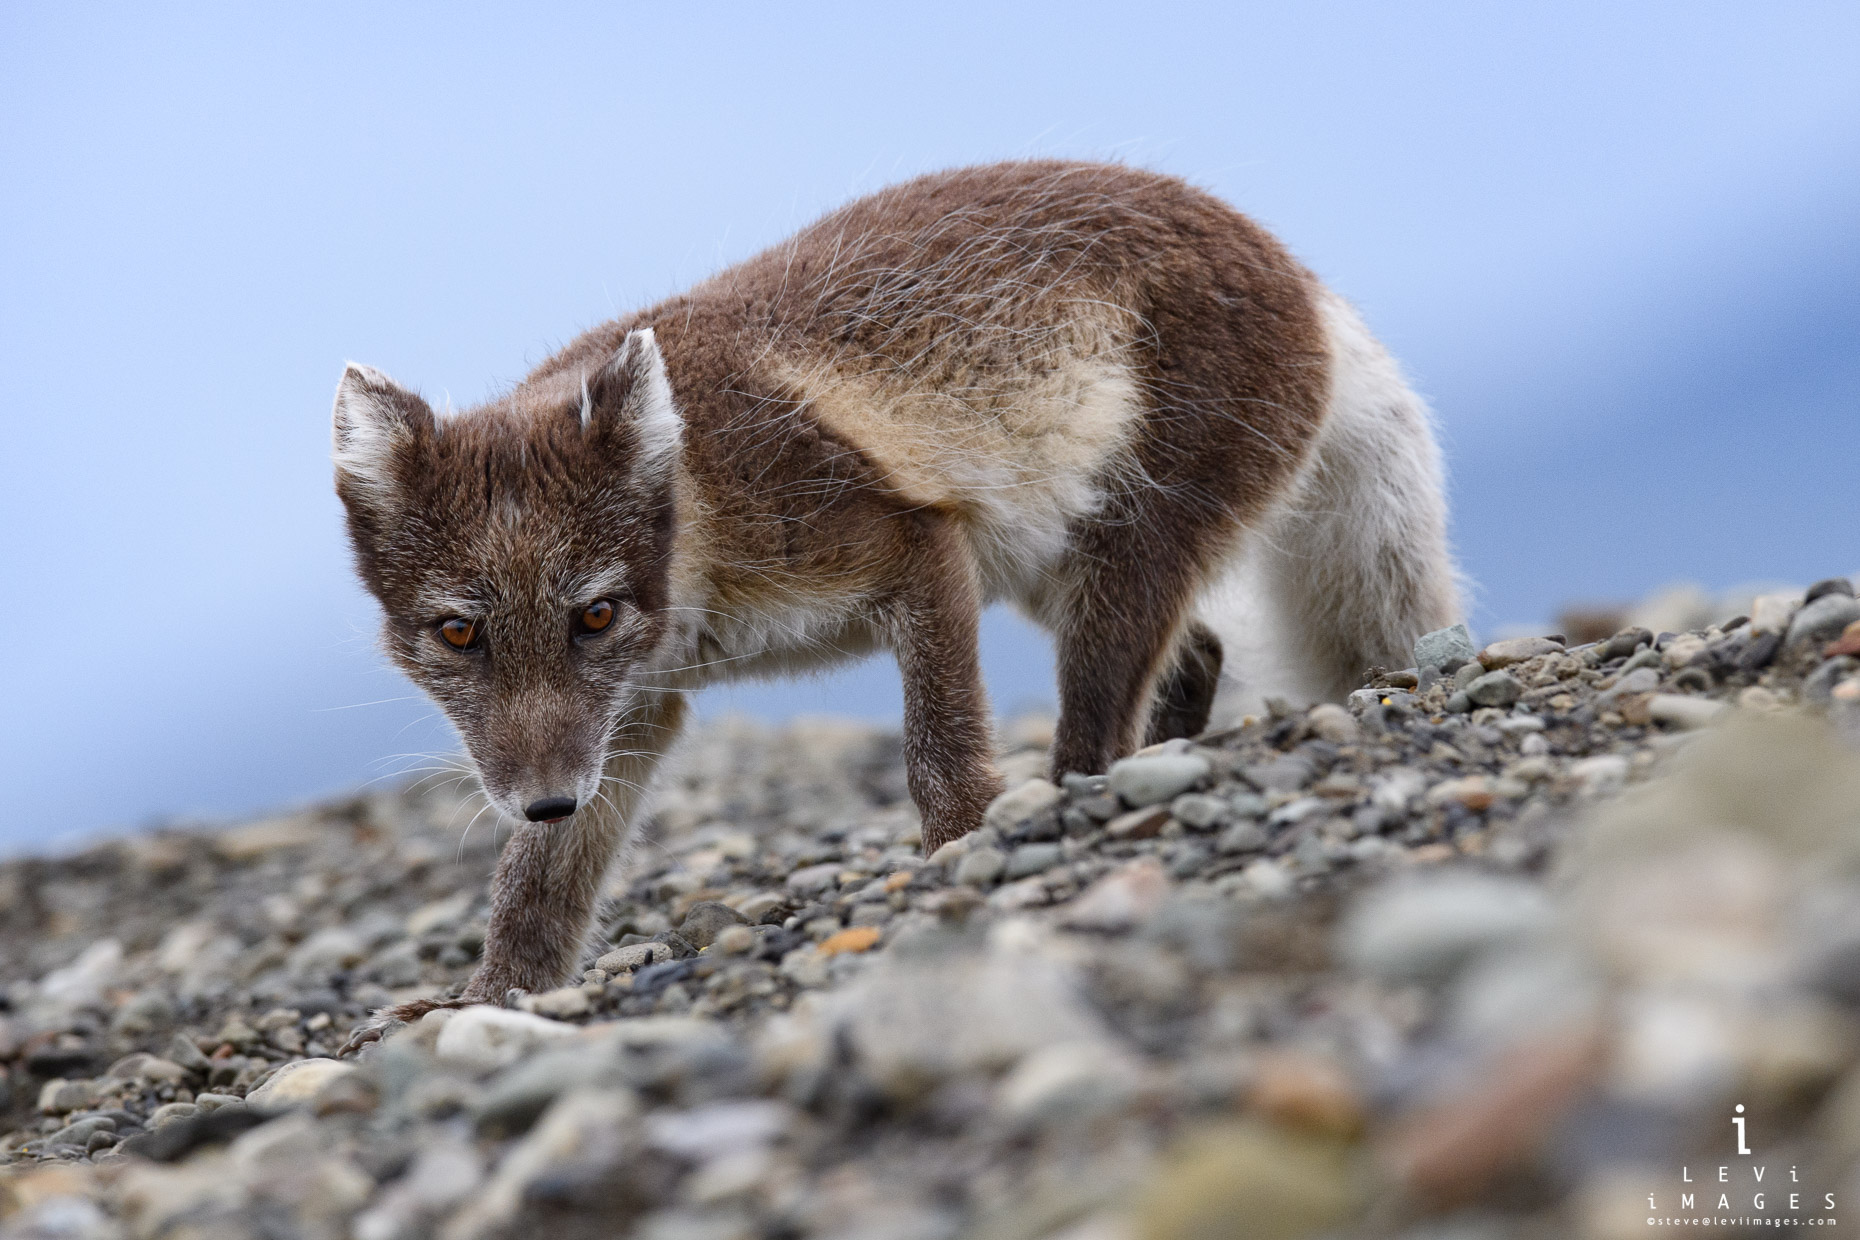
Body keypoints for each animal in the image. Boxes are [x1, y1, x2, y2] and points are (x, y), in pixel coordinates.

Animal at [331, 160, 1459, 1046]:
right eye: (459, 632)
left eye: (592, 615)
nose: (545, 798)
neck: (700, 502)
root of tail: (1294, 268)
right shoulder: (634, 707)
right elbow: (539, 881)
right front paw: (487, 998)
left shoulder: (914, 548)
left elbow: (938, 741)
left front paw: (962, 845)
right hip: (1056, 566)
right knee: (1203, 654)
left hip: (1122, 558)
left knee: (1102, 716)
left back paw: (1078, 799)